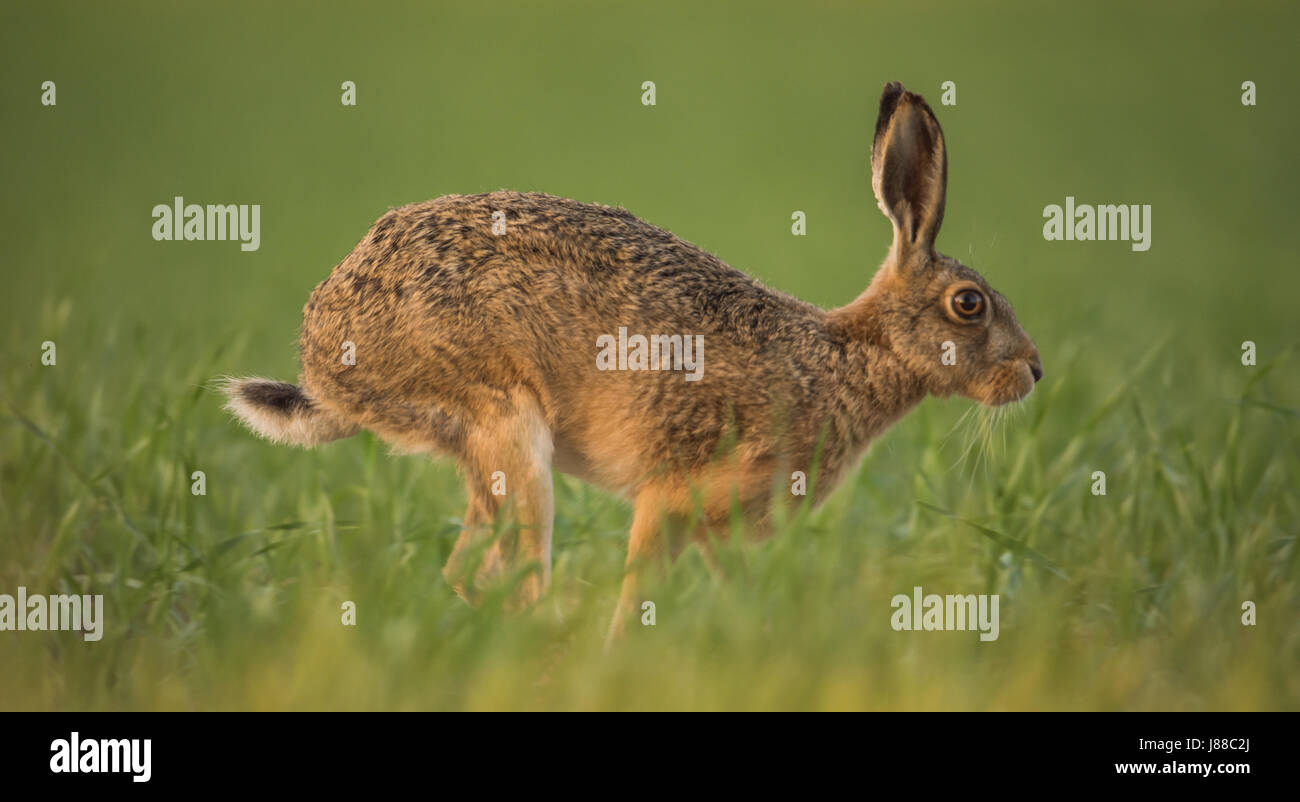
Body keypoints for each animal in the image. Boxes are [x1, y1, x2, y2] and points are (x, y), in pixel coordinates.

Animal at [223, 82, 1042, 637]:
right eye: (970, 304)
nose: (1033, 371)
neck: (850, 355)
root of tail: (326, 353)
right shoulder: (676, 497)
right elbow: (639, 590)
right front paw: (620, 654)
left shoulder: (721, 531)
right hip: (506, 427)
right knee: (492, 568)